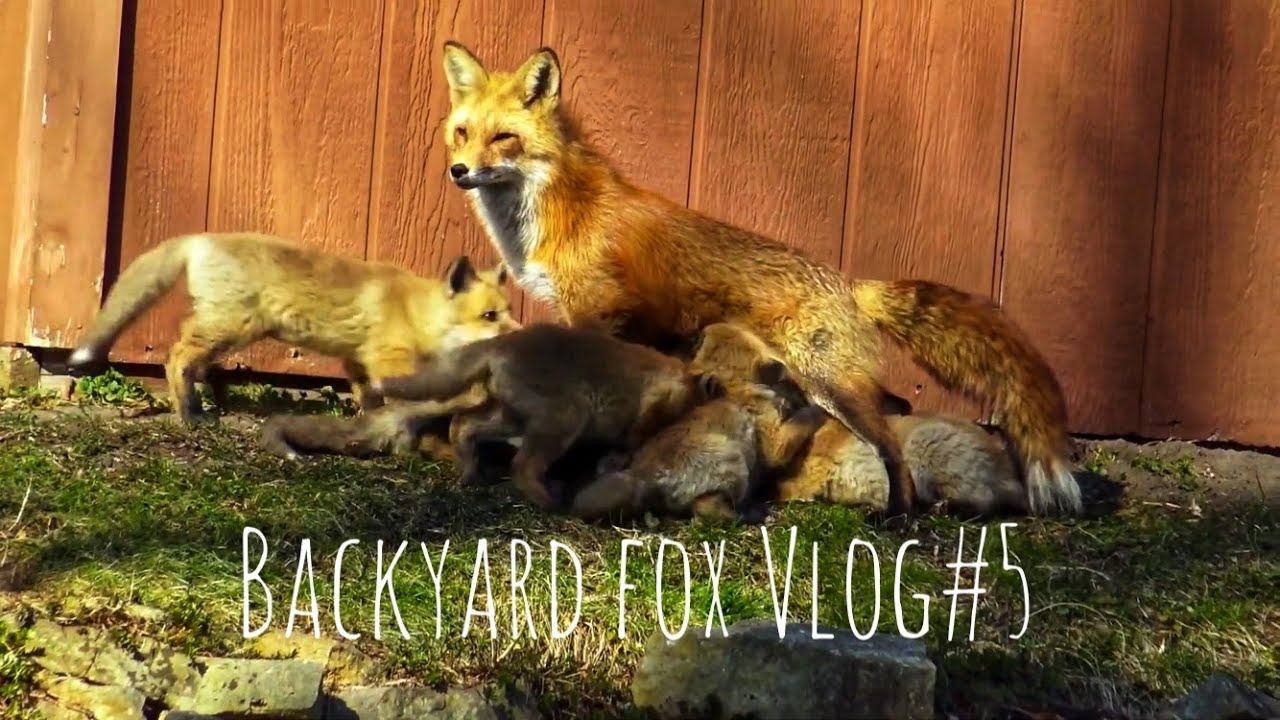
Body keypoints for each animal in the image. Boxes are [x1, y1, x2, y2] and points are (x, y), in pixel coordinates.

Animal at [66, 232, 520, 424]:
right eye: (490, 316)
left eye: (508, 311)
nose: (520, 335)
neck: (413, 311)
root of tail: (200, 237)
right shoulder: (386, 359)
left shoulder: (356, 361)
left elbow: (368, 400)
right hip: (230, 326)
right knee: (175, 355)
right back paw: (192, 414)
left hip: (226, 331)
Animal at [369, 323, 724, 509]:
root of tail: (504, 342)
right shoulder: (656, 402)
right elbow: (634, 439)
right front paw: (615, 461)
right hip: (566, 417)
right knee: (520, 465)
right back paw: (548, 501)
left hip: (513, 415)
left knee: (463, 424)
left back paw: (471, 472)